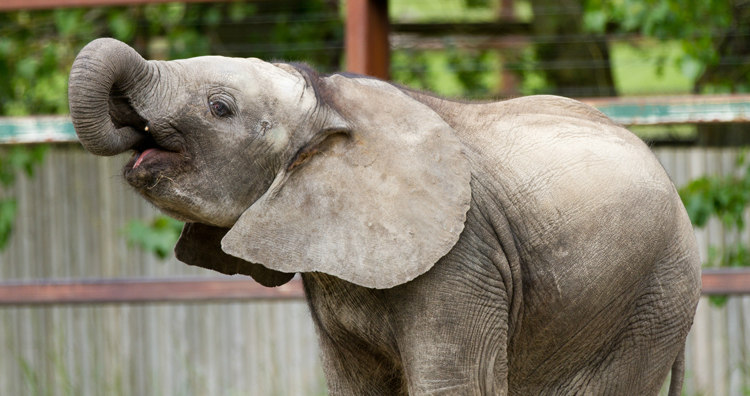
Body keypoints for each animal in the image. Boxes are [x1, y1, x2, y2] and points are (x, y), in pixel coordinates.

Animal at [67, 38, 704, 396]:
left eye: (219, 108)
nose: (129, 121)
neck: (328, 103)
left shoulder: (463, 259)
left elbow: (456, 384)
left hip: (649, 300)